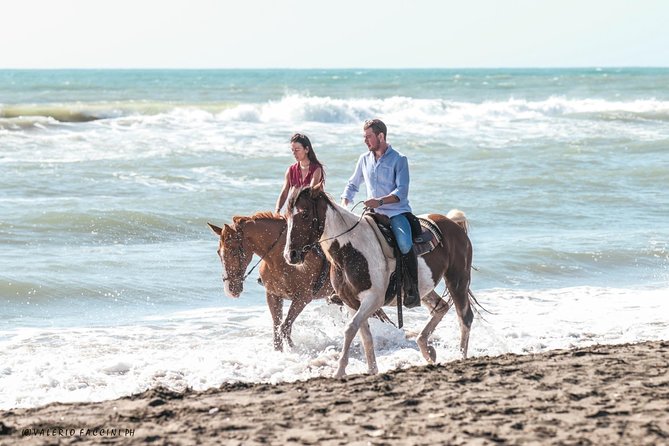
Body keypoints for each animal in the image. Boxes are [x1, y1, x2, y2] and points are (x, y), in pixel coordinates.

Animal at [208, 212, 392, 351]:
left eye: (233, 251)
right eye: (218, 252)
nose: (230, 289)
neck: (278, 258)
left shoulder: (302, 298)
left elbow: (285, 327)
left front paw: (293, 349)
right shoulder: (273, 295)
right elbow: (277, 329)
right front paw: (279, 353)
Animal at [284, 184, 475, 378]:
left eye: (305, 214)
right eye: (287, 216)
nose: (290, 255)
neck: (349, 251)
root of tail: (453, 223)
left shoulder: (373, 299)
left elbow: (350, 329)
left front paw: (340, 370)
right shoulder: (350, 302)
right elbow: (364, 335)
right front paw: (372, 370)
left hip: (457, 279)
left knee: (464, 317)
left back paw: (460, 357)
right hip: (424, 290)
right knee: (441, 307)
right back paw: (426, 349)